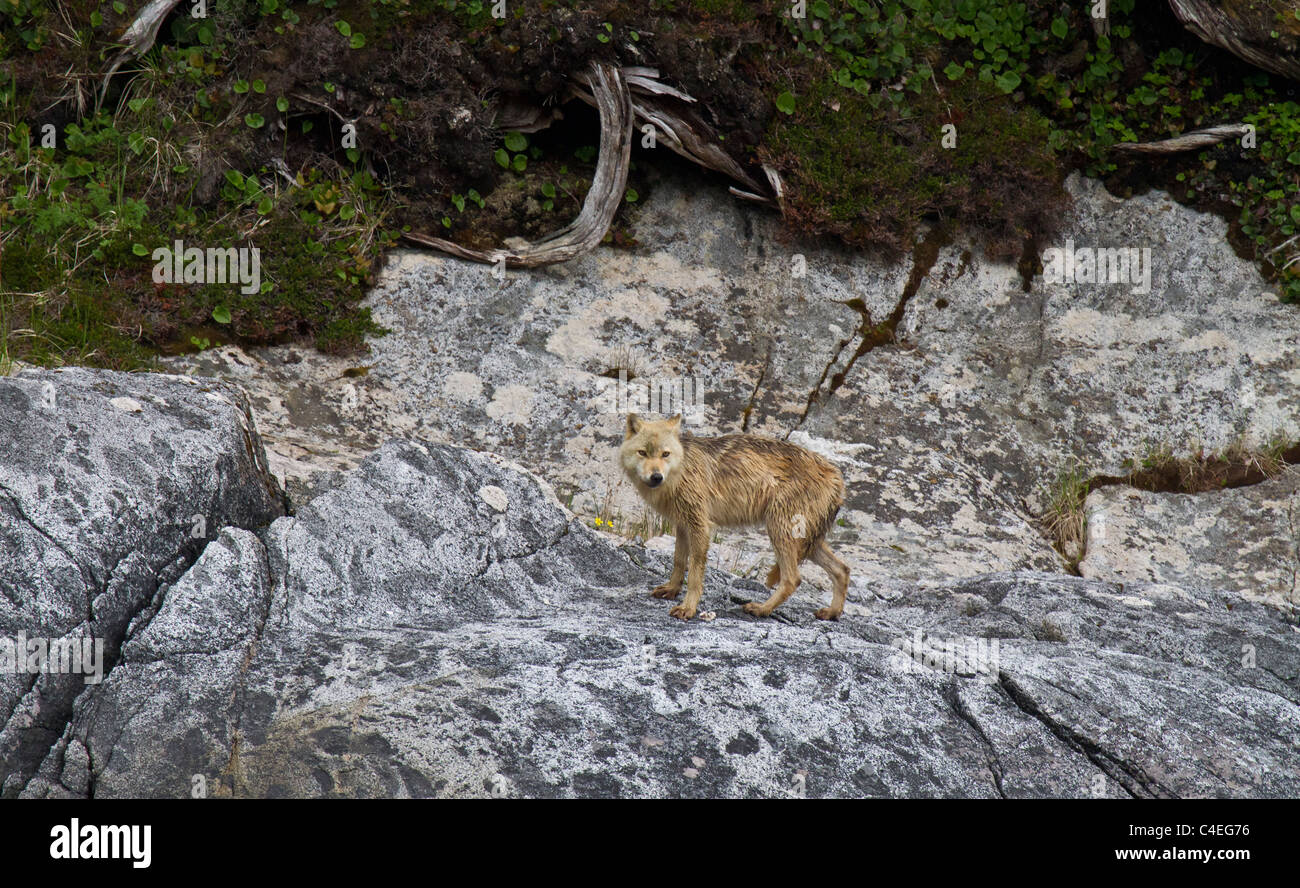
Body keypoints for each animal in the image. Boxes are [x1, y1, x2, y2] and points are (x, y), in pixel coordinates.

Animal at [619, 413, 850, 621]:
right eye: (643, 453)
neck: (681, 471)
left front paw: (687, 609)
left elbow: (694, 575)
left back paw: (761, 609)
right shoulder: (682, 525)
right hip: (805, 541)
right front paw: (671, 590)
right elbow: (678, 562)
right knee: (842, 569)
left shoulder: (700, 526)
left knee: (793, 579)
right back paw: (832, 613)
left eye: (665, 454)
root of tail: (837, 475)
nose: (656, 477)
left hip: (780, 531)